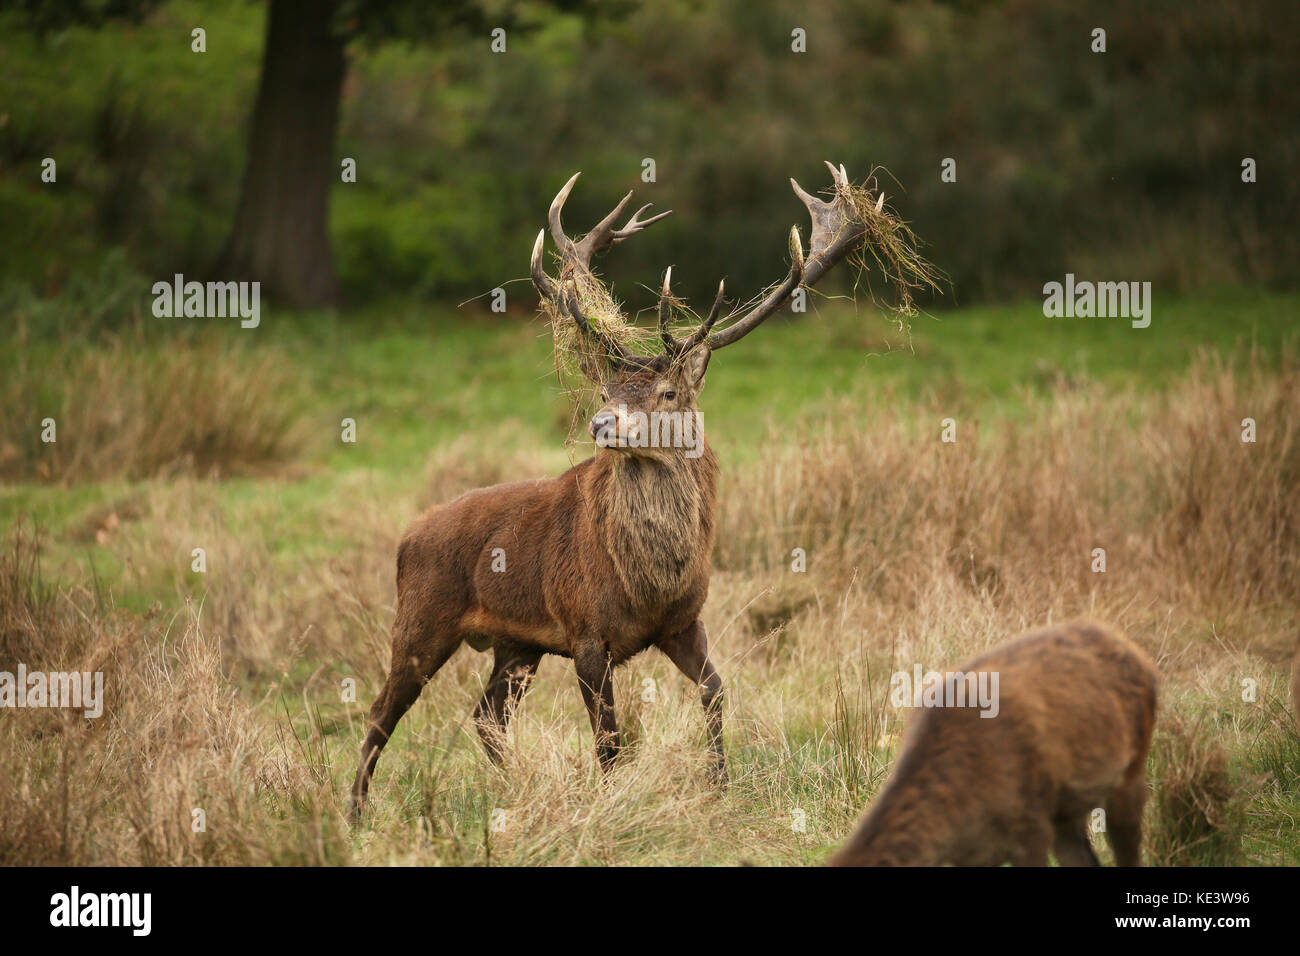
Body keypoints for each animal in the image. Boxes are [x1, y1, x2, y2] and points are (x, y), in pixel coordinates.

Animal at [349, 162, 877, 821]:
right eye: (605, 392)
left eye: (668, 393)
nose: (602, 424)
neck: (646, 585)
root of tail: (407, 537)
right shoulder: (585, 632)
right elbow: (609, 739)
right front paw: (610, 805)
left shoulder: (682, 623)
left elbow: (716, 692)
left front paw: (721, 787)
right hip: (422, 617)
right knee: (379, 714)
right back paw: (356, 814)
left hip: (515, 646)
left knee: (487, 716)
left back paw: (514, 790)